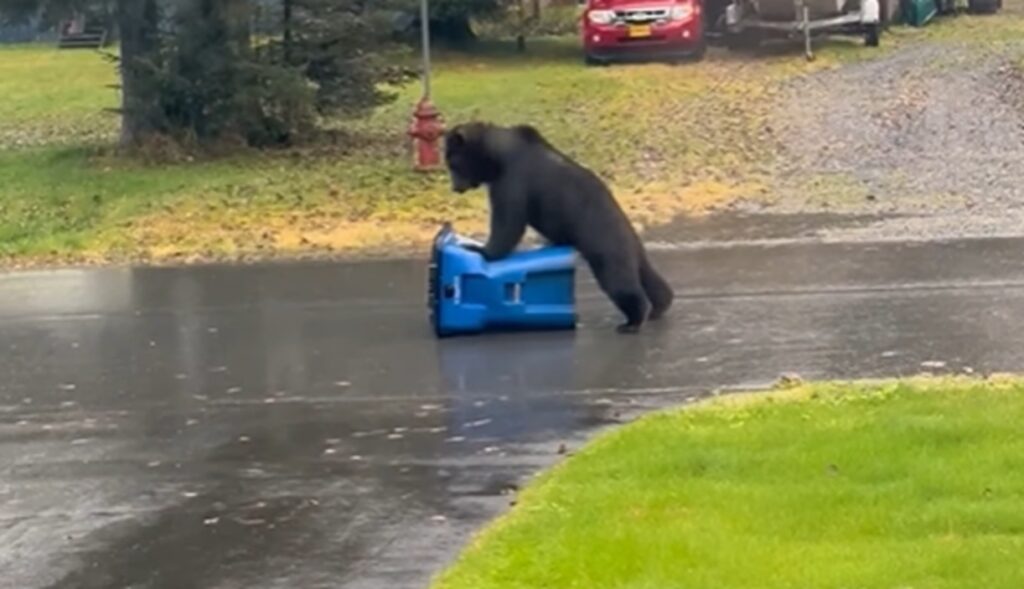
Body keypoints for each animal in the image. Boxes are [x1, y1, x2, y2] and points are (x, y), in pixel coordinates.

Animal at [443, 121, 674, 333]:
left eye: (453, 164)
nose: (454, 187)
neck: (498, 157)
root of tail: (631, 236)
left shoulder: (514, 180)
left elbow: (508, 222)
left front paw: (479, 248)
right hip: (631, 248)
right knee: (649, 277)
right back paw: (660, 305)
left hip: (604, 243)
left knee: (618, 280)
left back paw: (632, 320)